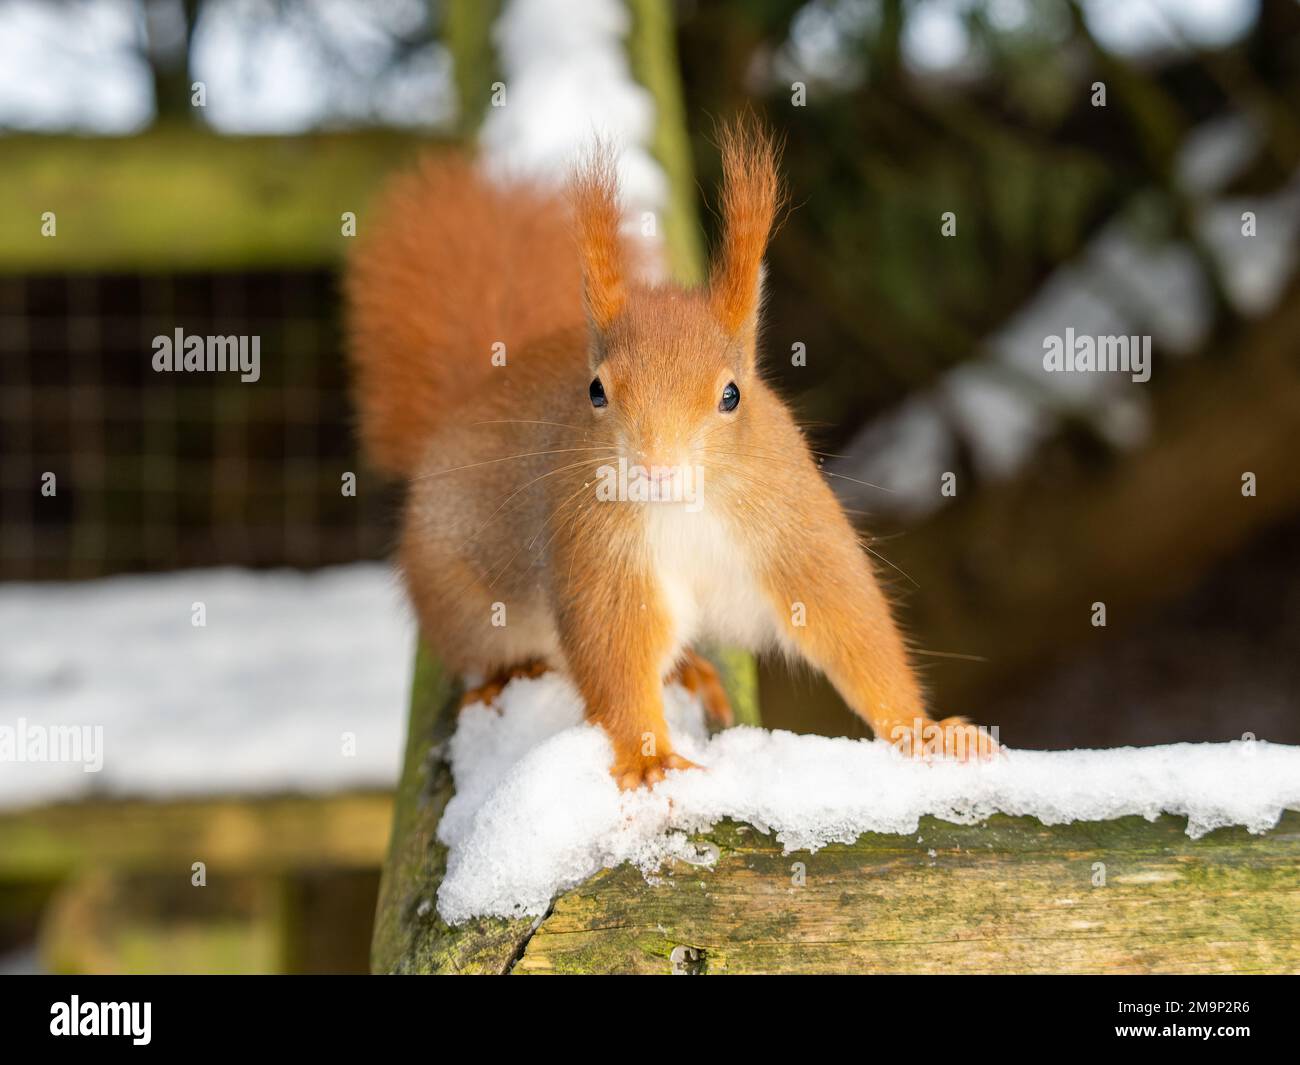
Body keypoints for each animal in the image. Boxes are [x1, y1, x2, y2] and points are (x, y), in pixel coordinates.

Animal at [346, 120, 997, 789]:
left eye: (732, 395)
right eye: (596, 390)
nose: (656, 469)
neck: (687, 506)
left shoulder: (790, 530)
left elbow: (846, 622)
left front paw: (924, 732)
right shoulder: (598, 550)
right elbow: (615, 653)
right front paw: (651, 758)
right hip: (466, 601)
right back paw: (509, 676)